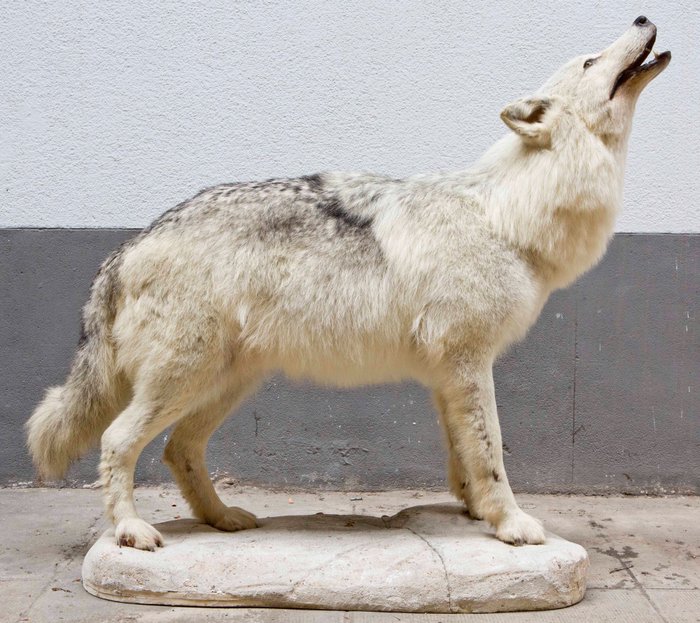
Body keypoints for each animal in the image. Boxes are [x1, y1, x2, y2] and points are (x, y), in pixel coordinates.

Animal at [27, 17, 670, 550]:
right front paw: (510, 523)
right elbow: (491, 456)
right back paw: (131, 532)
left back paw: (223, 518)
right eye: (589, 61)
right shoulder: (468, 363)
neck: (508, 215)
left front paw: (473, 514)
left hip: (226, 383)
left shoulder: (447, 377)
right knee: (118, 442)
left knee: (178, 448)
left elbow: (463, 458)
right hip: (186, 380)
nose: (642, 17)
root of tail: (130, 243)